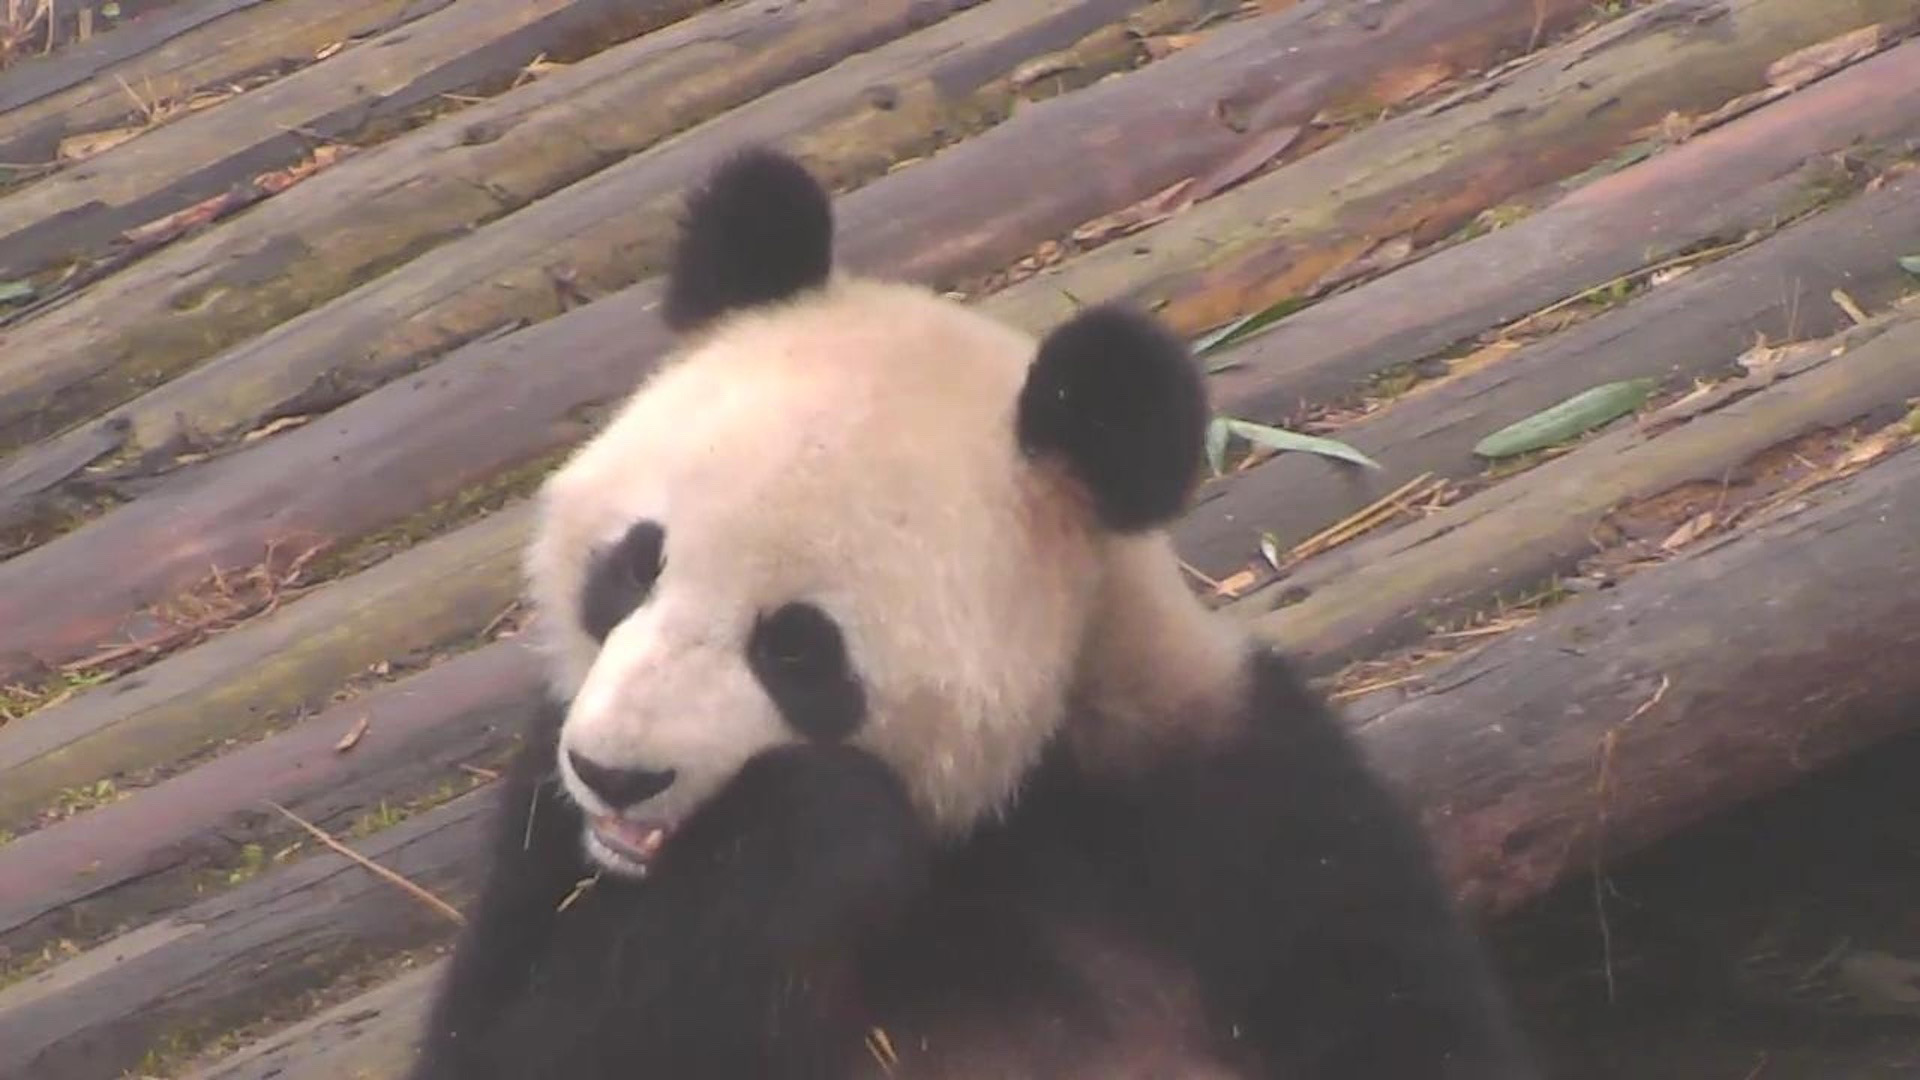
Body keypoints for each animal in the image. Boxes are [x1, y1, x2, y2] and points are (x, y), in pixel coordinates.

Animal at [408, 147, 1538, 1080]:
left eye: (798, 651)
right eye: (635, 567)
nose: (618, 774)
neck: (986, 834)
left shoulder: (1235, 805)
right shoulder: (546, 836)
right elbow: (522, 1047)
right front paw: (813, 829)